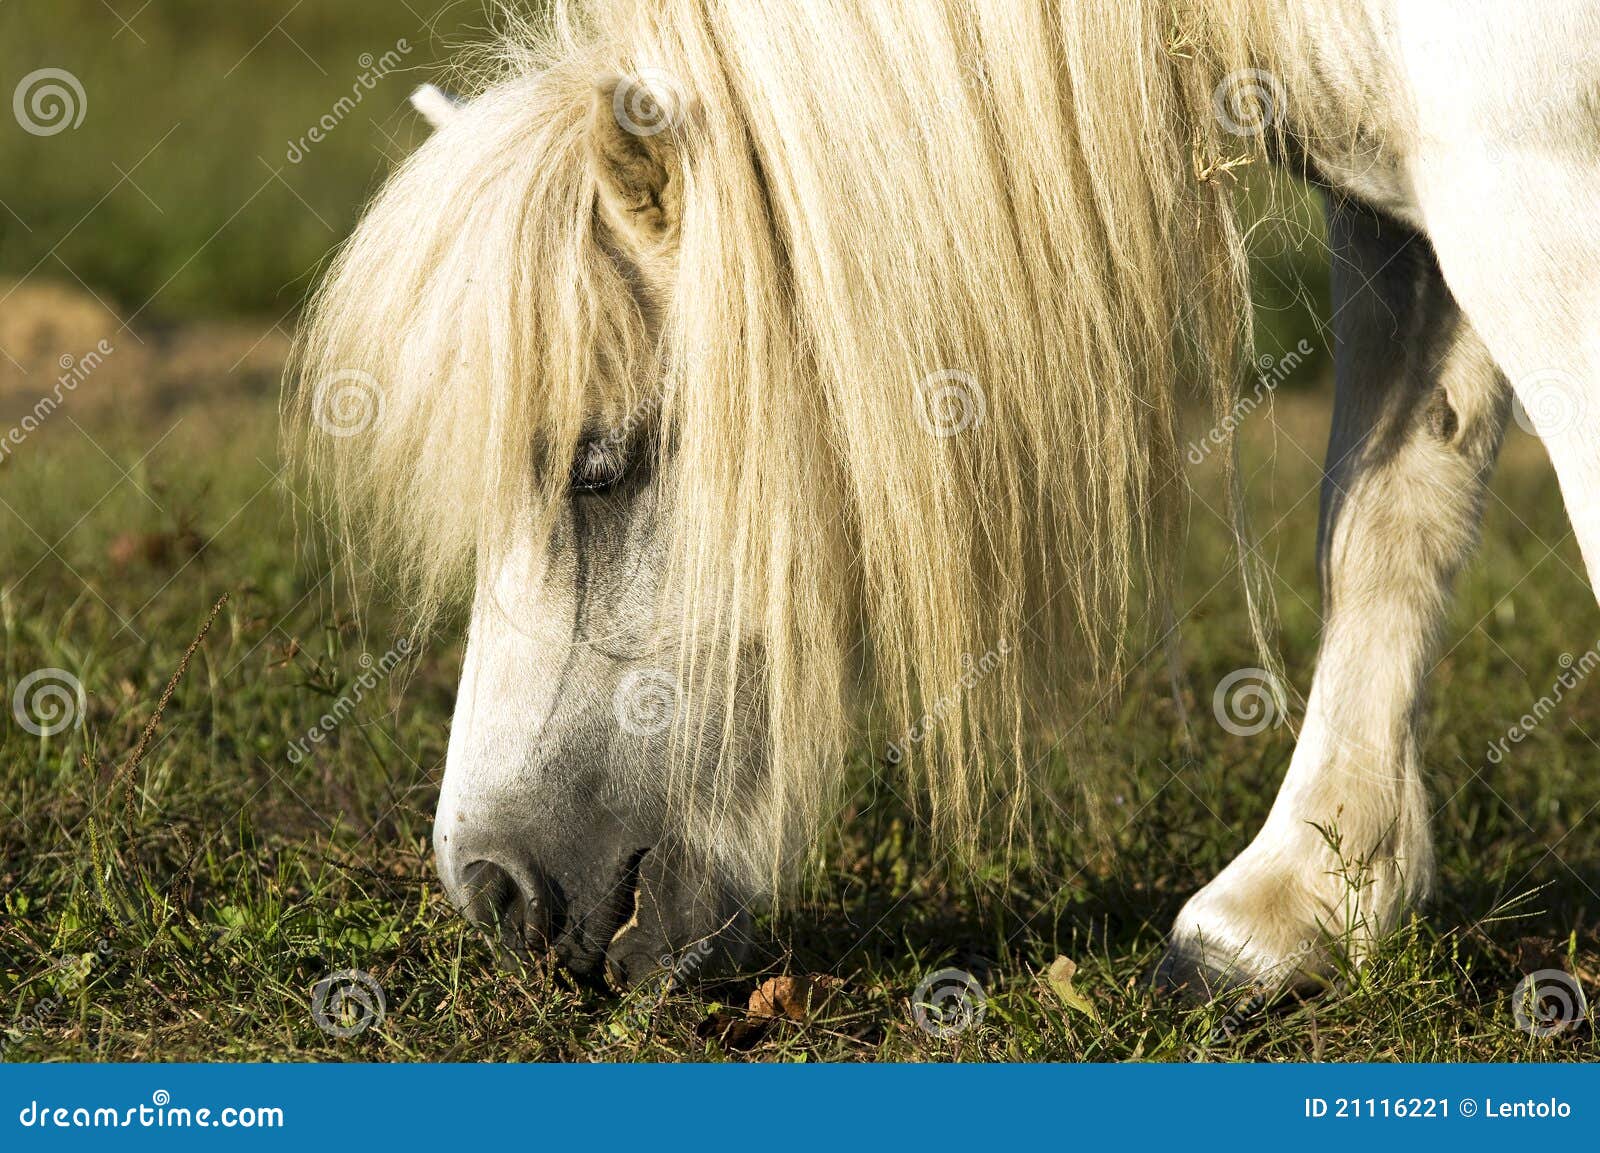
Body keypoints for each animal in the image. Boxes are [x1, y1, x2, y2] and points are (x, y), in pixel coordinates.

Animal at [292, 0, 1600, 995]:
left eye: (599, 464)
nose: (491, 888)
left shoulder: (1529, 192)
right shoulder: (1407, 201)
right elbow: (1383, 514)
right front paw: (1293, 909)